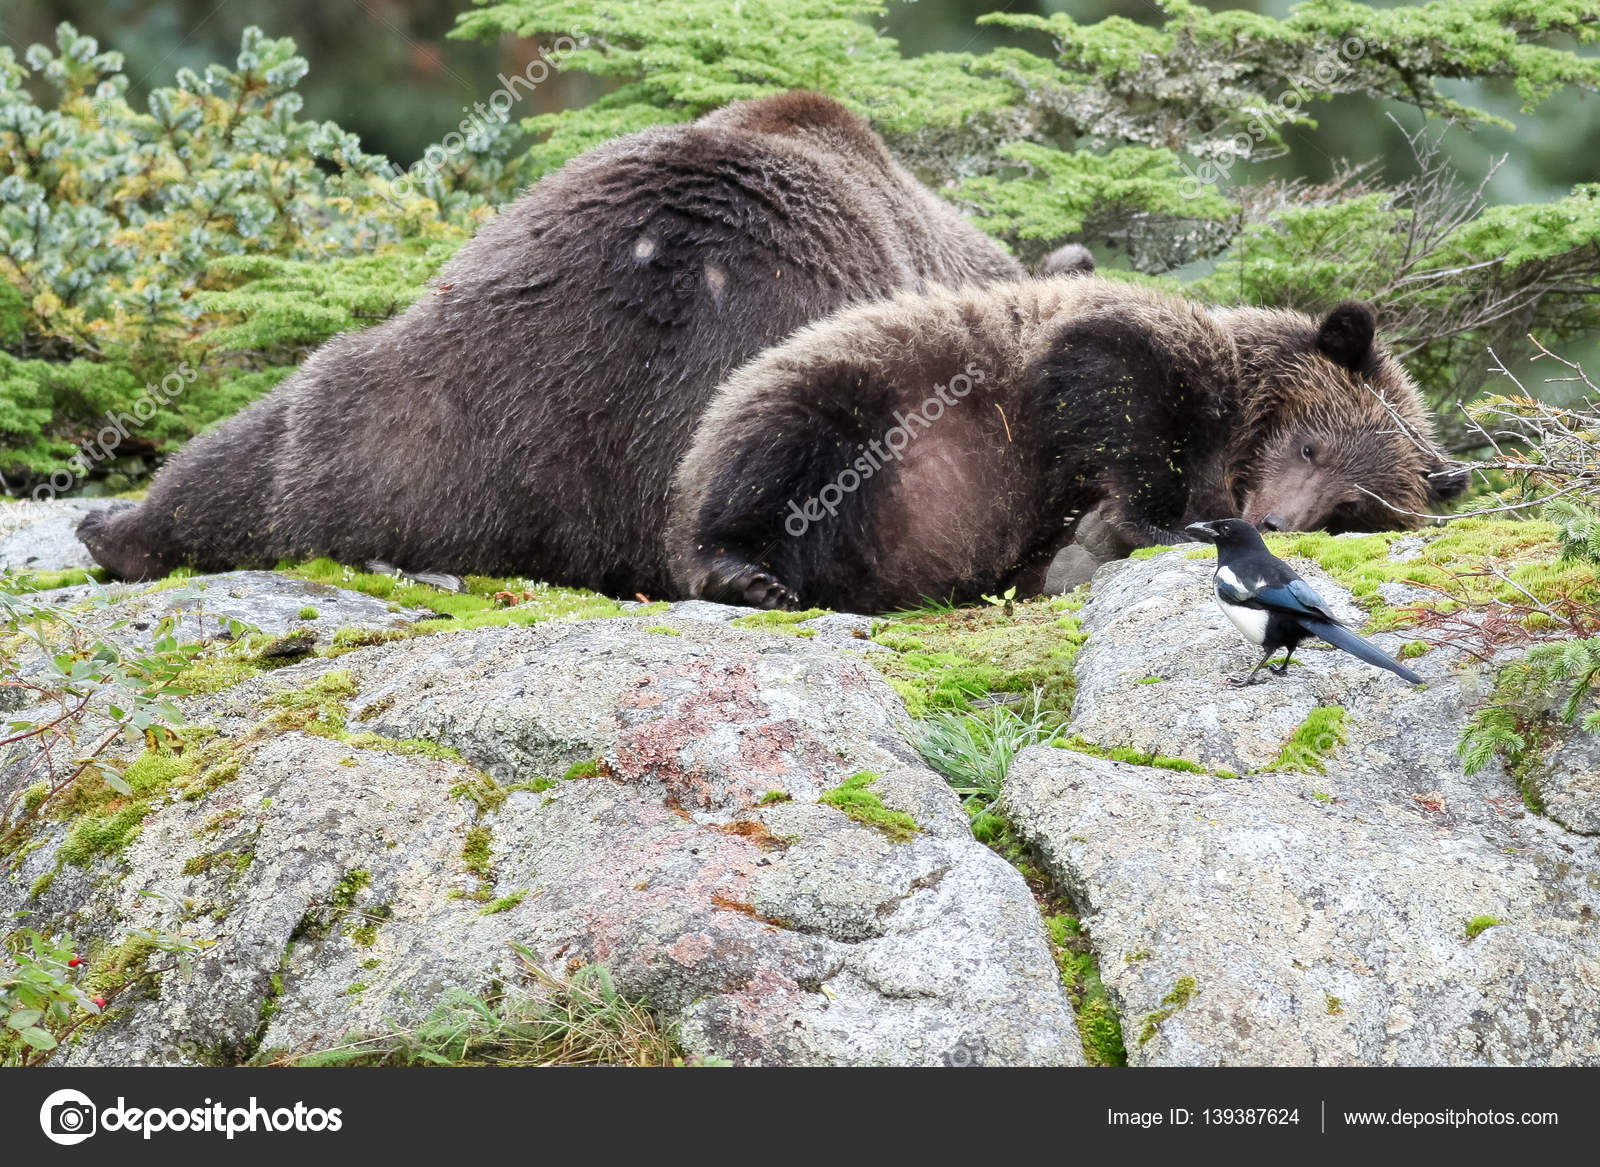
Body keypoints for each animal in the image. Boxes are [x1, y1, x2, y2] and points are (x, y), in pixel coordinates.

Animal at [666, 277, 1465, 614]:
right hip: (854, 404)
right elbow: (1114, 393)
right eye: (1309, 447)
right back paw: (744, 573)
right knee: (771, 467)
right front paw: (1146, 522)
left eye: (1352, 507)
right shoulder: (1125, 355)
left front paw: (1089, 545)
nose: (1277, 522)